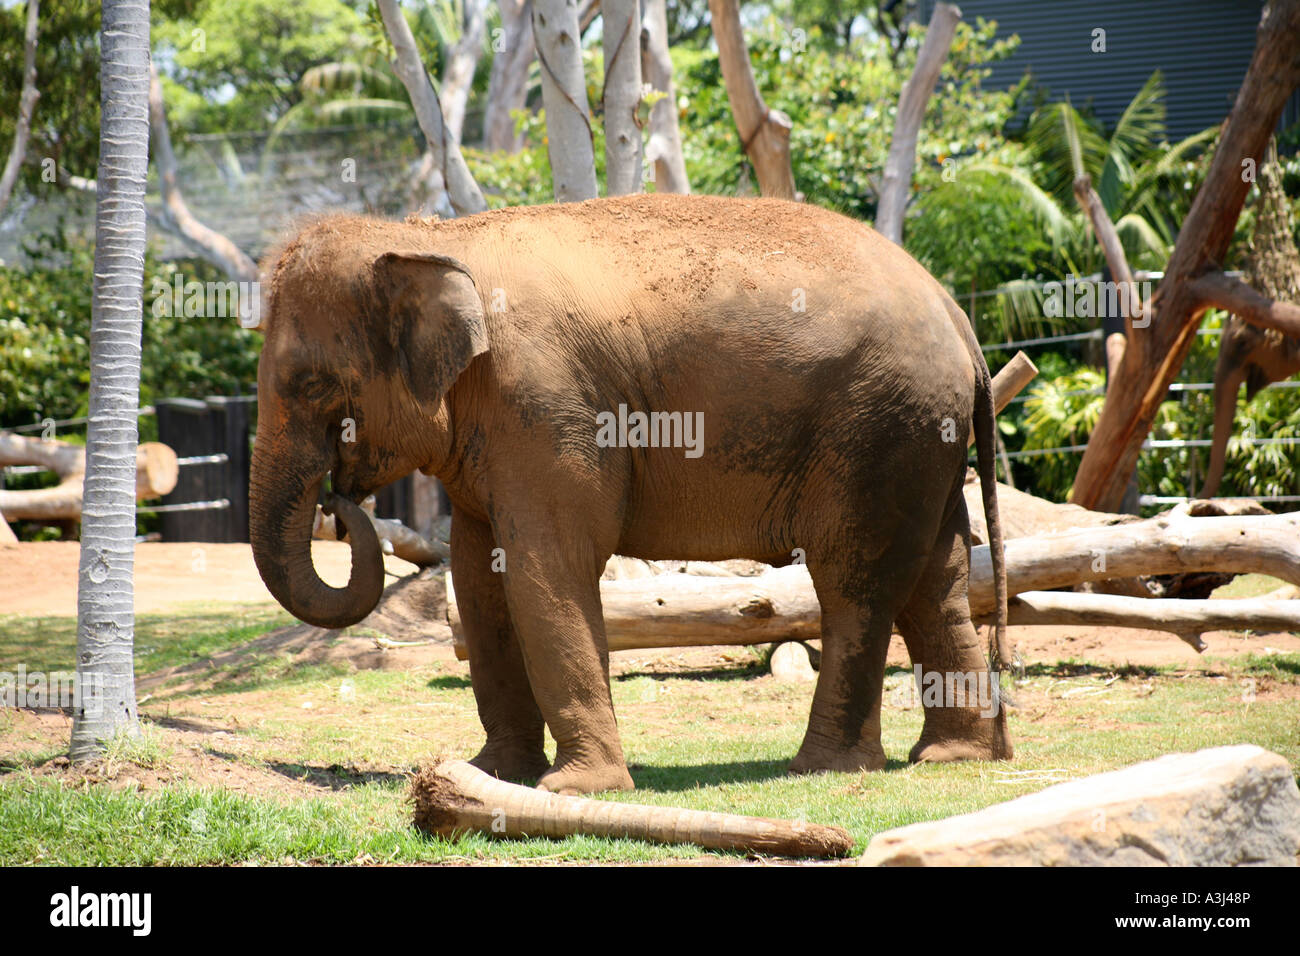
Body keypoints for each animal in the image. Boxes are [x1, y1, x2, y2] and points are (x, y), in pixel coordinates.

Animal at [249, 193, 1011, 794]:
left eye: (310, 385)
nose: (337, 500)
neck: (435, 237)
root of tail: (959, 318)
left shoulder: (546, 404)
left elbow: (549, 569)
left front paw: (574, 789)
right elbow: (478, 580)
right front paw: (491, 775)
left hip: (877, 428)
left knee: (855, 582)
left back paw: (825, 766)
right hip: (923, 434)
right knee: (937, 578)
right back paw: (952, 756)